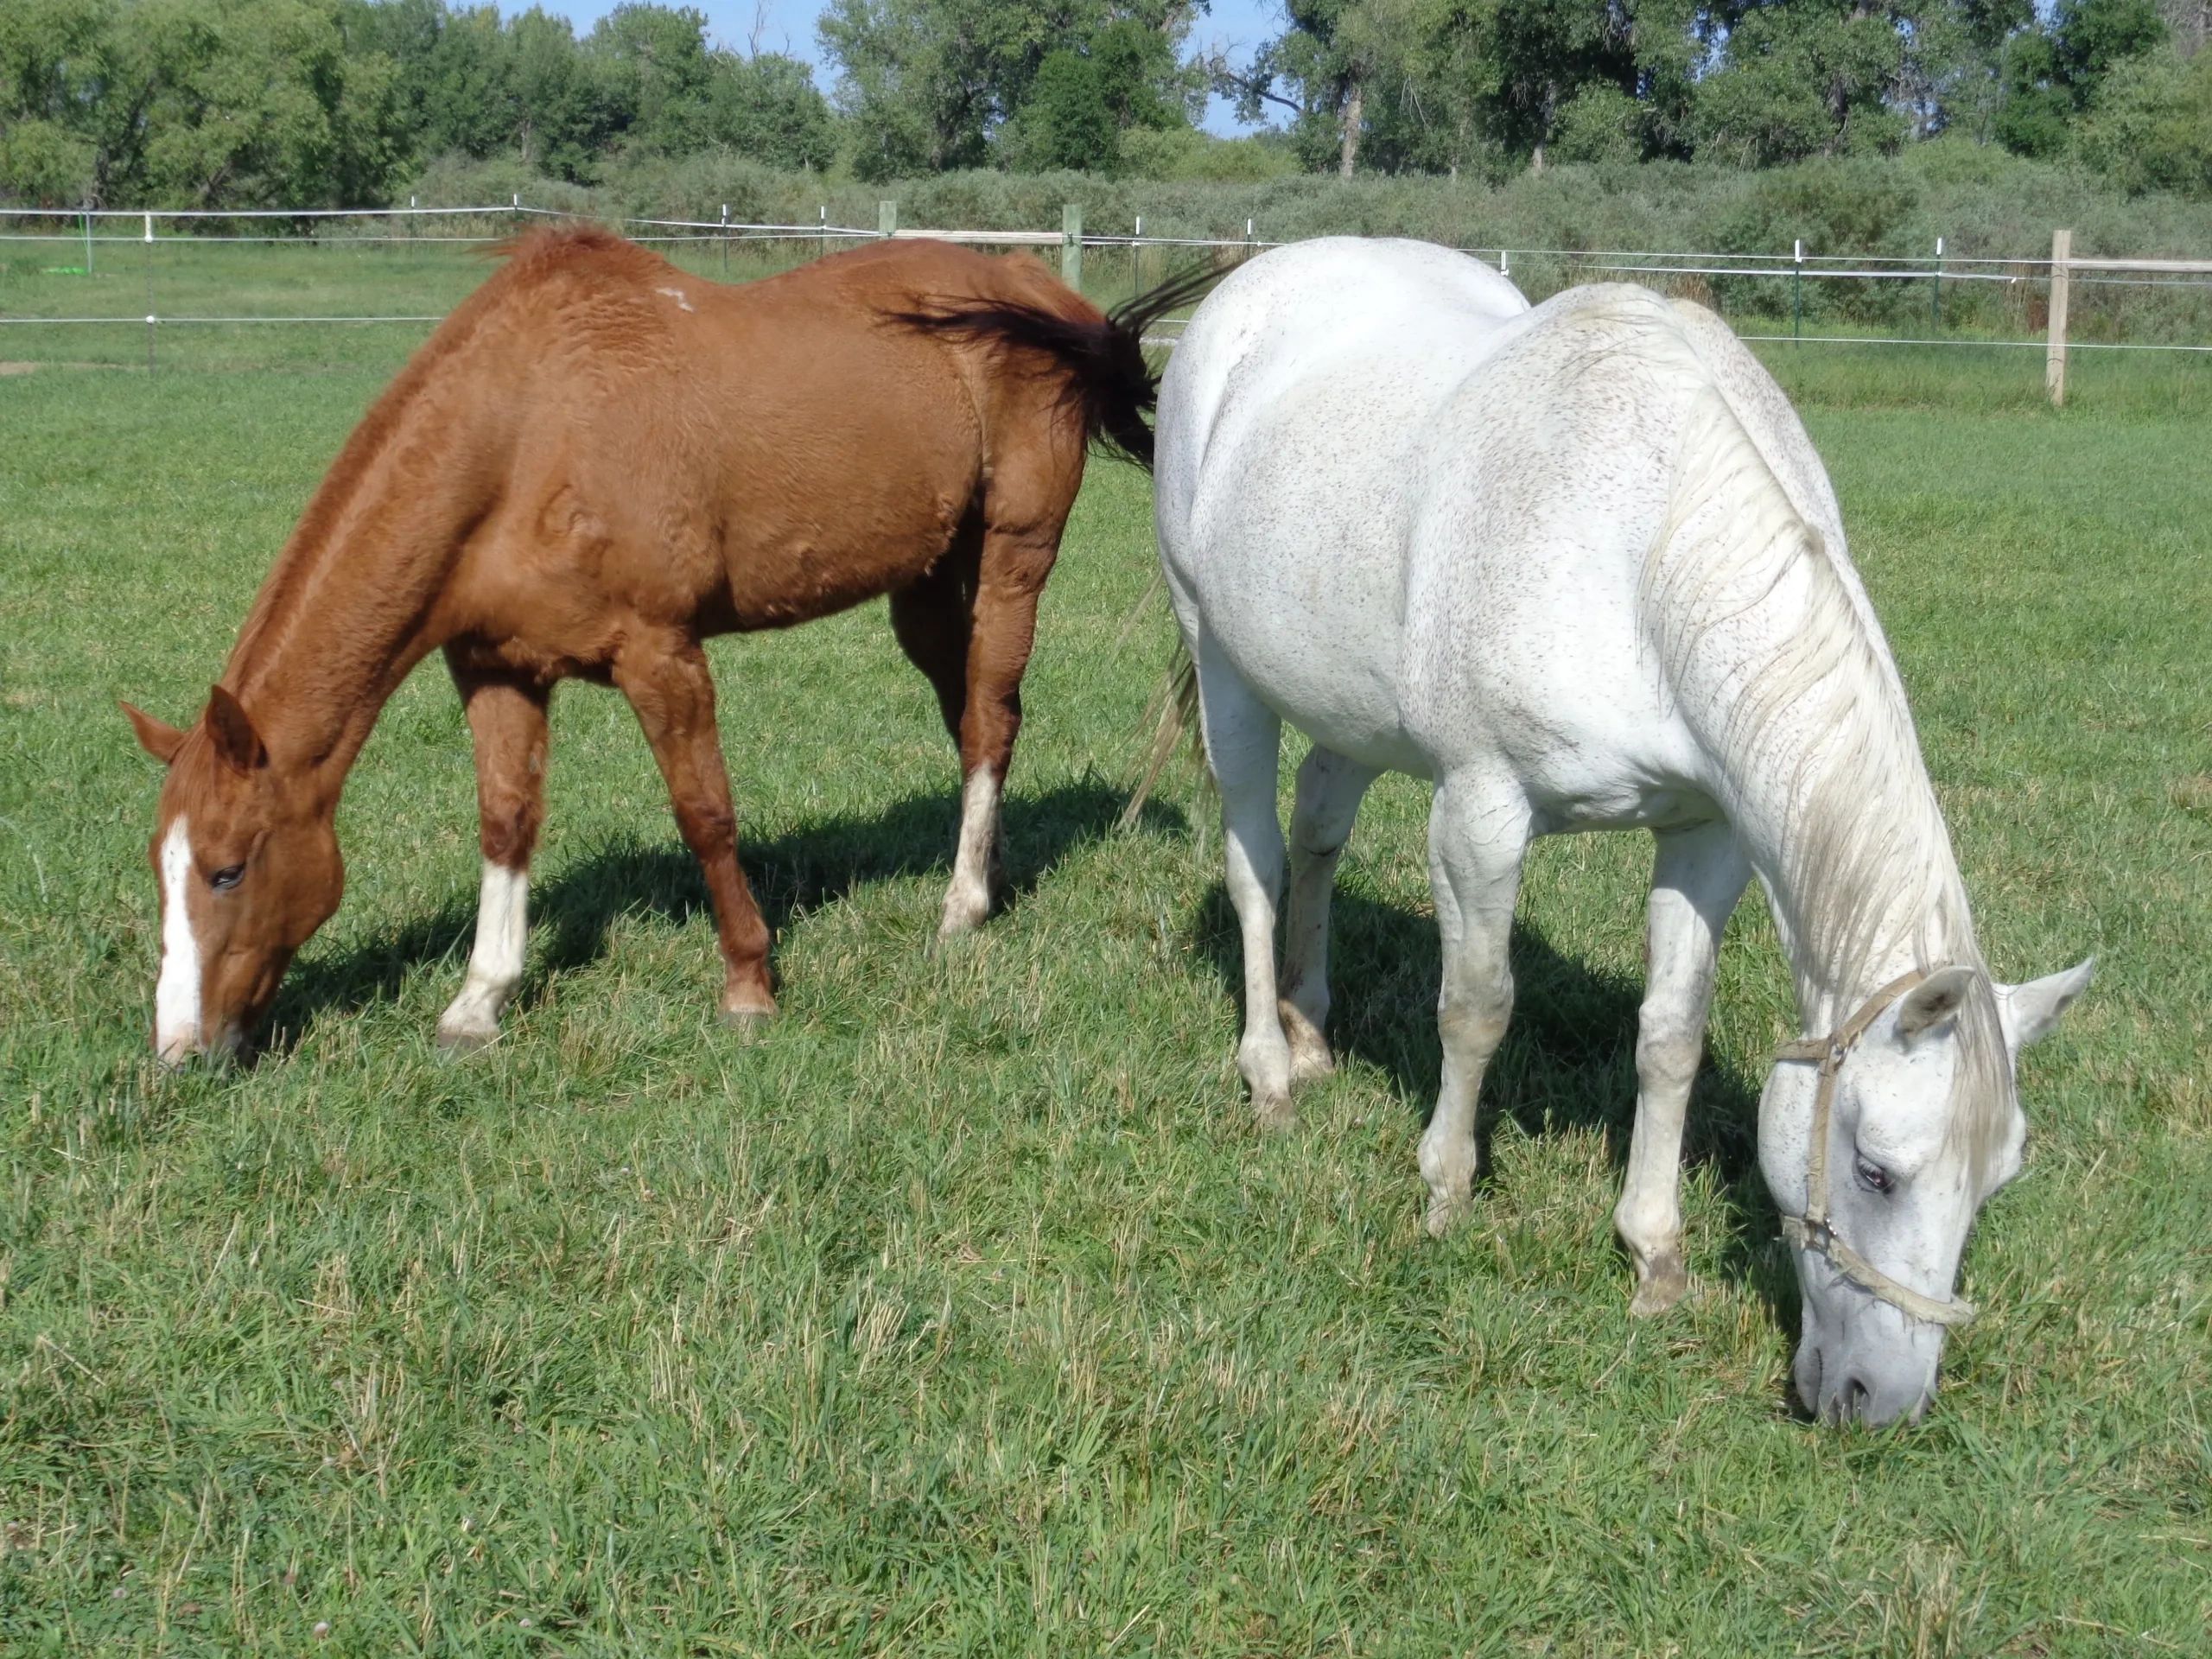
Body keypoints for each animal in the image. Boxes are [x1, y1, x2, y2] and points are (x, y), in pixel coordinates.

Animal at [121, 226, 1210, 1064]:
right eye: (159, 868)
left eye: (228, 869)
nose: (178, 1052)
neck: (527, 428)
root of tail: (1041, 291)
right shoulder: (496, 669)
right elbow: (506, 823)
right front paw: (480, 1000)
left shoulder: (661, 657)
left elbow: (706, 814)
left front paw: (749, 986)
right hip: (927, 585)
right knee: (979, 721)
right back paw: (986, 875)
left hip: (1014, 556)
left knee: (988, 717)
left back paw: (959, 908)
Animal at [1144, 238, 2091, 1426]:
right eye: (1877, 1169)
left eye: (1996, 1181)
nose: (1879, 1401)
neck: (1640, 545)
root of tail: (1253, 281)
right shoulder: (1481, 812)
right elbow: (1476, 1009)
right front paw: (1445, 1192)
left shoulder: (1705, 837)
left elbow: (1669, 1040)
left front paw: (1653, 1256)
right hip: (1223, 666)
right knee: (1257, 867)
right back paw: (1270, 1071)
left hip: (1344, 709)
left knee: (1317, 833)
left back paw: (1312, 1033)